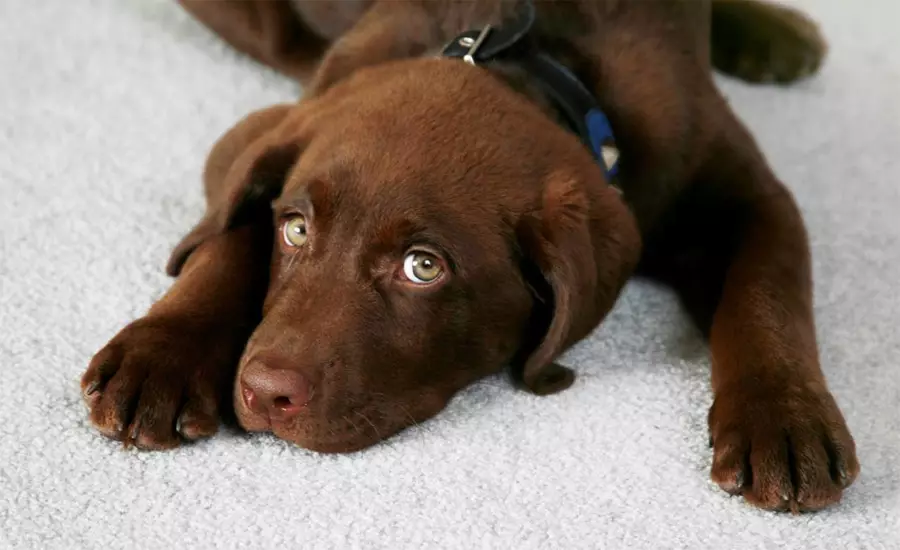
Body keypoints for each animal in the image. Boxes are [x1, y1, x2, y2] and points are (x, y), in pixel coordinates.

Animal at [82, 0, 856, 516]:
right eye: (296, 231)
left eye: (424, 267)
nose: (266, 393)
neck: (537, 63)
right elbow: (229, 229)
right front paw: (163, 353)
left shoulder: (747, 192)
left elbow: (768, 294)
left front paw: (784, 421)